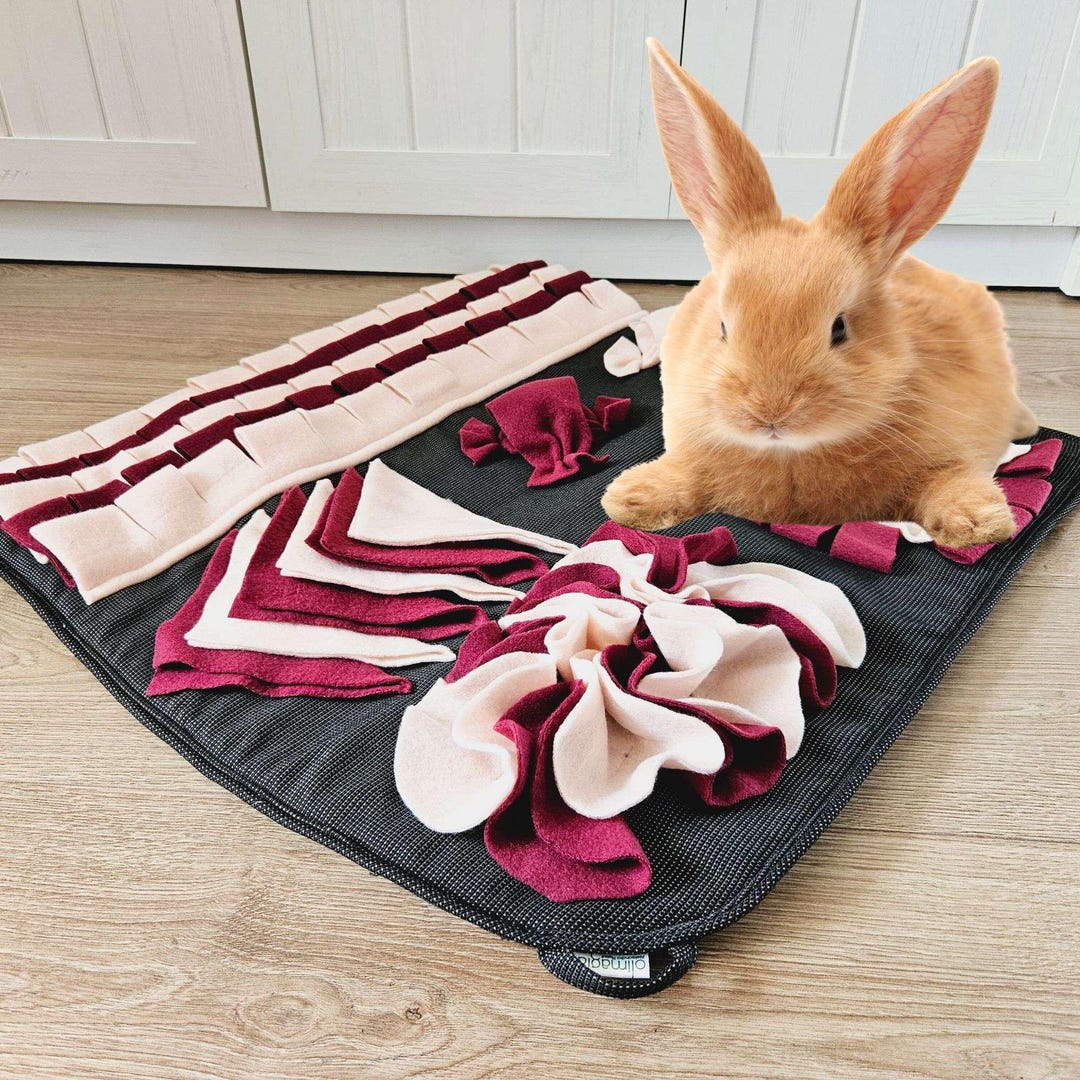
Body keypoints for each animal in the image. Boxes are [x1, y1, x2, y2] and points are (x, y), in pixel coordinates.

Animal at [602, 39, 1039, 550]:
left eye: (839, 328)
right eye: (723, 327)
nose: (770, 411)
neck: (791, 453)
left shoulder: (953, 453)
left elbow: (951, 479)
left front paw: (978, 524)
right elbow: (683, 475)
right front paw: (631, 499)